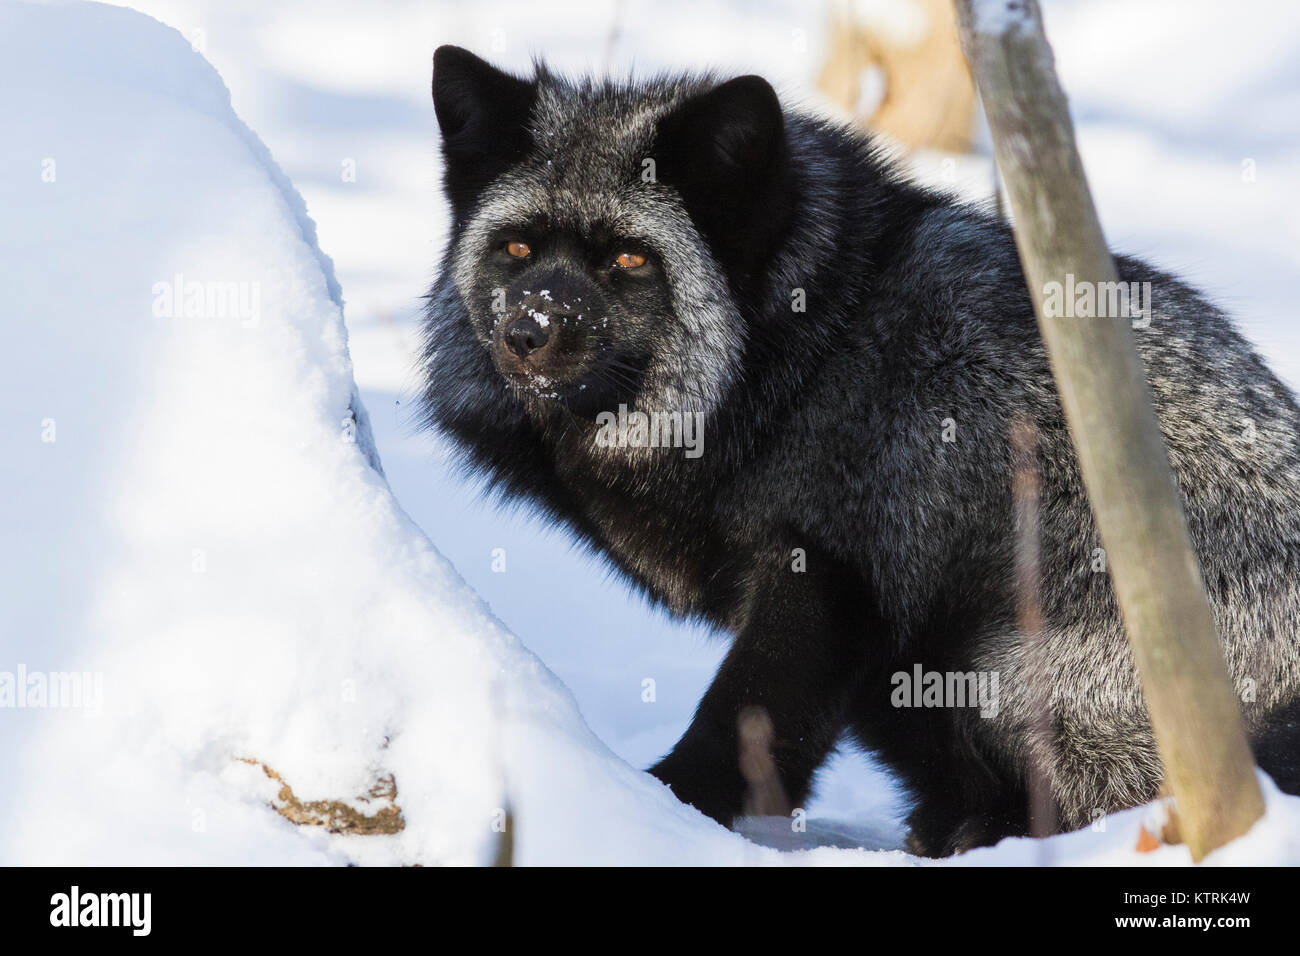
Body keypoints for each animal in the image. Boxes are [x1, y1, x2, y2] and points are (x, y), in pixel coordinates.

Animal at [420, 45, 1300, 855]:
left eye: (630, 259)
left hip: (1019, 672)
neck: (802, 355)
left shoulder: (829, 571)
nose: (526, 331)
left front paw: (659, 815)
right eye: (518, 251)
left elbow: (744, 715)